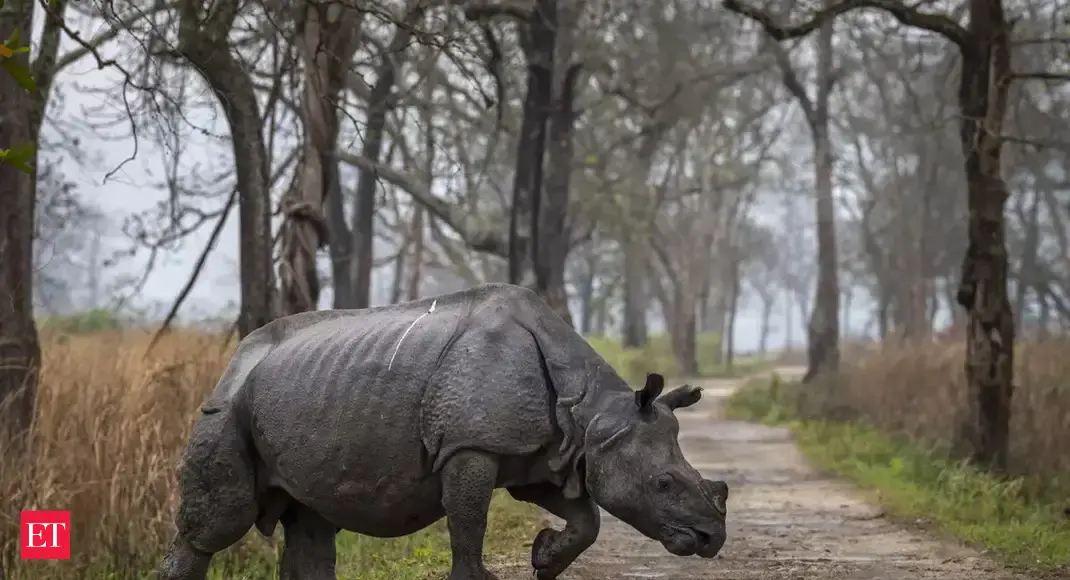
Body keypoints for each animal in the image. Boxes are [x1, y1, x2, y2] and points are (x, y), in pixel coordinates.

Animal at [159, 283, 728, 580]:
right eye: (662, 484)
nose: (711, 538)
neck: (589, 412)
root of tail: (236, 356)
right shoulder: (469, 446)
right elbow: (468, 522)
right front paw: (484, 578)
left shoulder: (546, 454)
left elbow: (585, 517)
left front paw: (545, 558)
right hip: (228, 402)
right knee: (220, 522)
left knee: (311, 522)